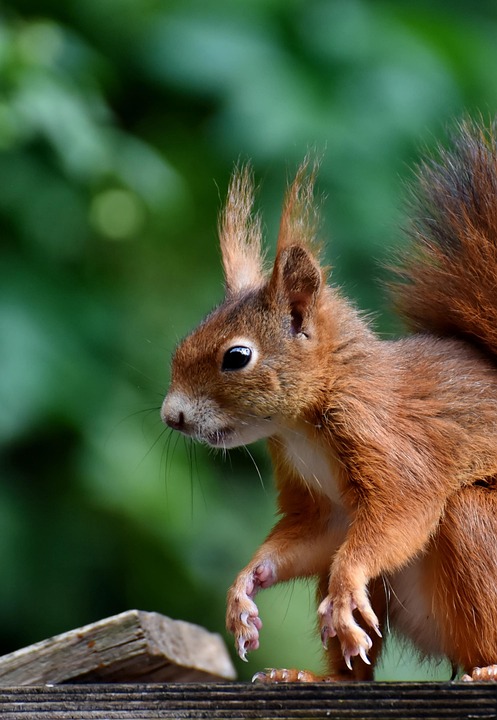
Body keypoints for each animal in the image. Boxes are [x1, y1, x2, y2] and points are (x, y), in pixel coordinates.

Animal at [161, 119, 497, 683]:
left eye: (237, 356)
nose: (170, 415)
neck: (300, 426)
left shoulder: (391, 441)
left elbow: (401, 514)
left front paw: (344, 588)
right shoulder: (325, 511)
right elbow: (312, 539)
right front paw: (243, 589)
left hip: (479, 527)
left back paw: (487, 669)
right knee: (357, 661)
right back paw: (312, 675)